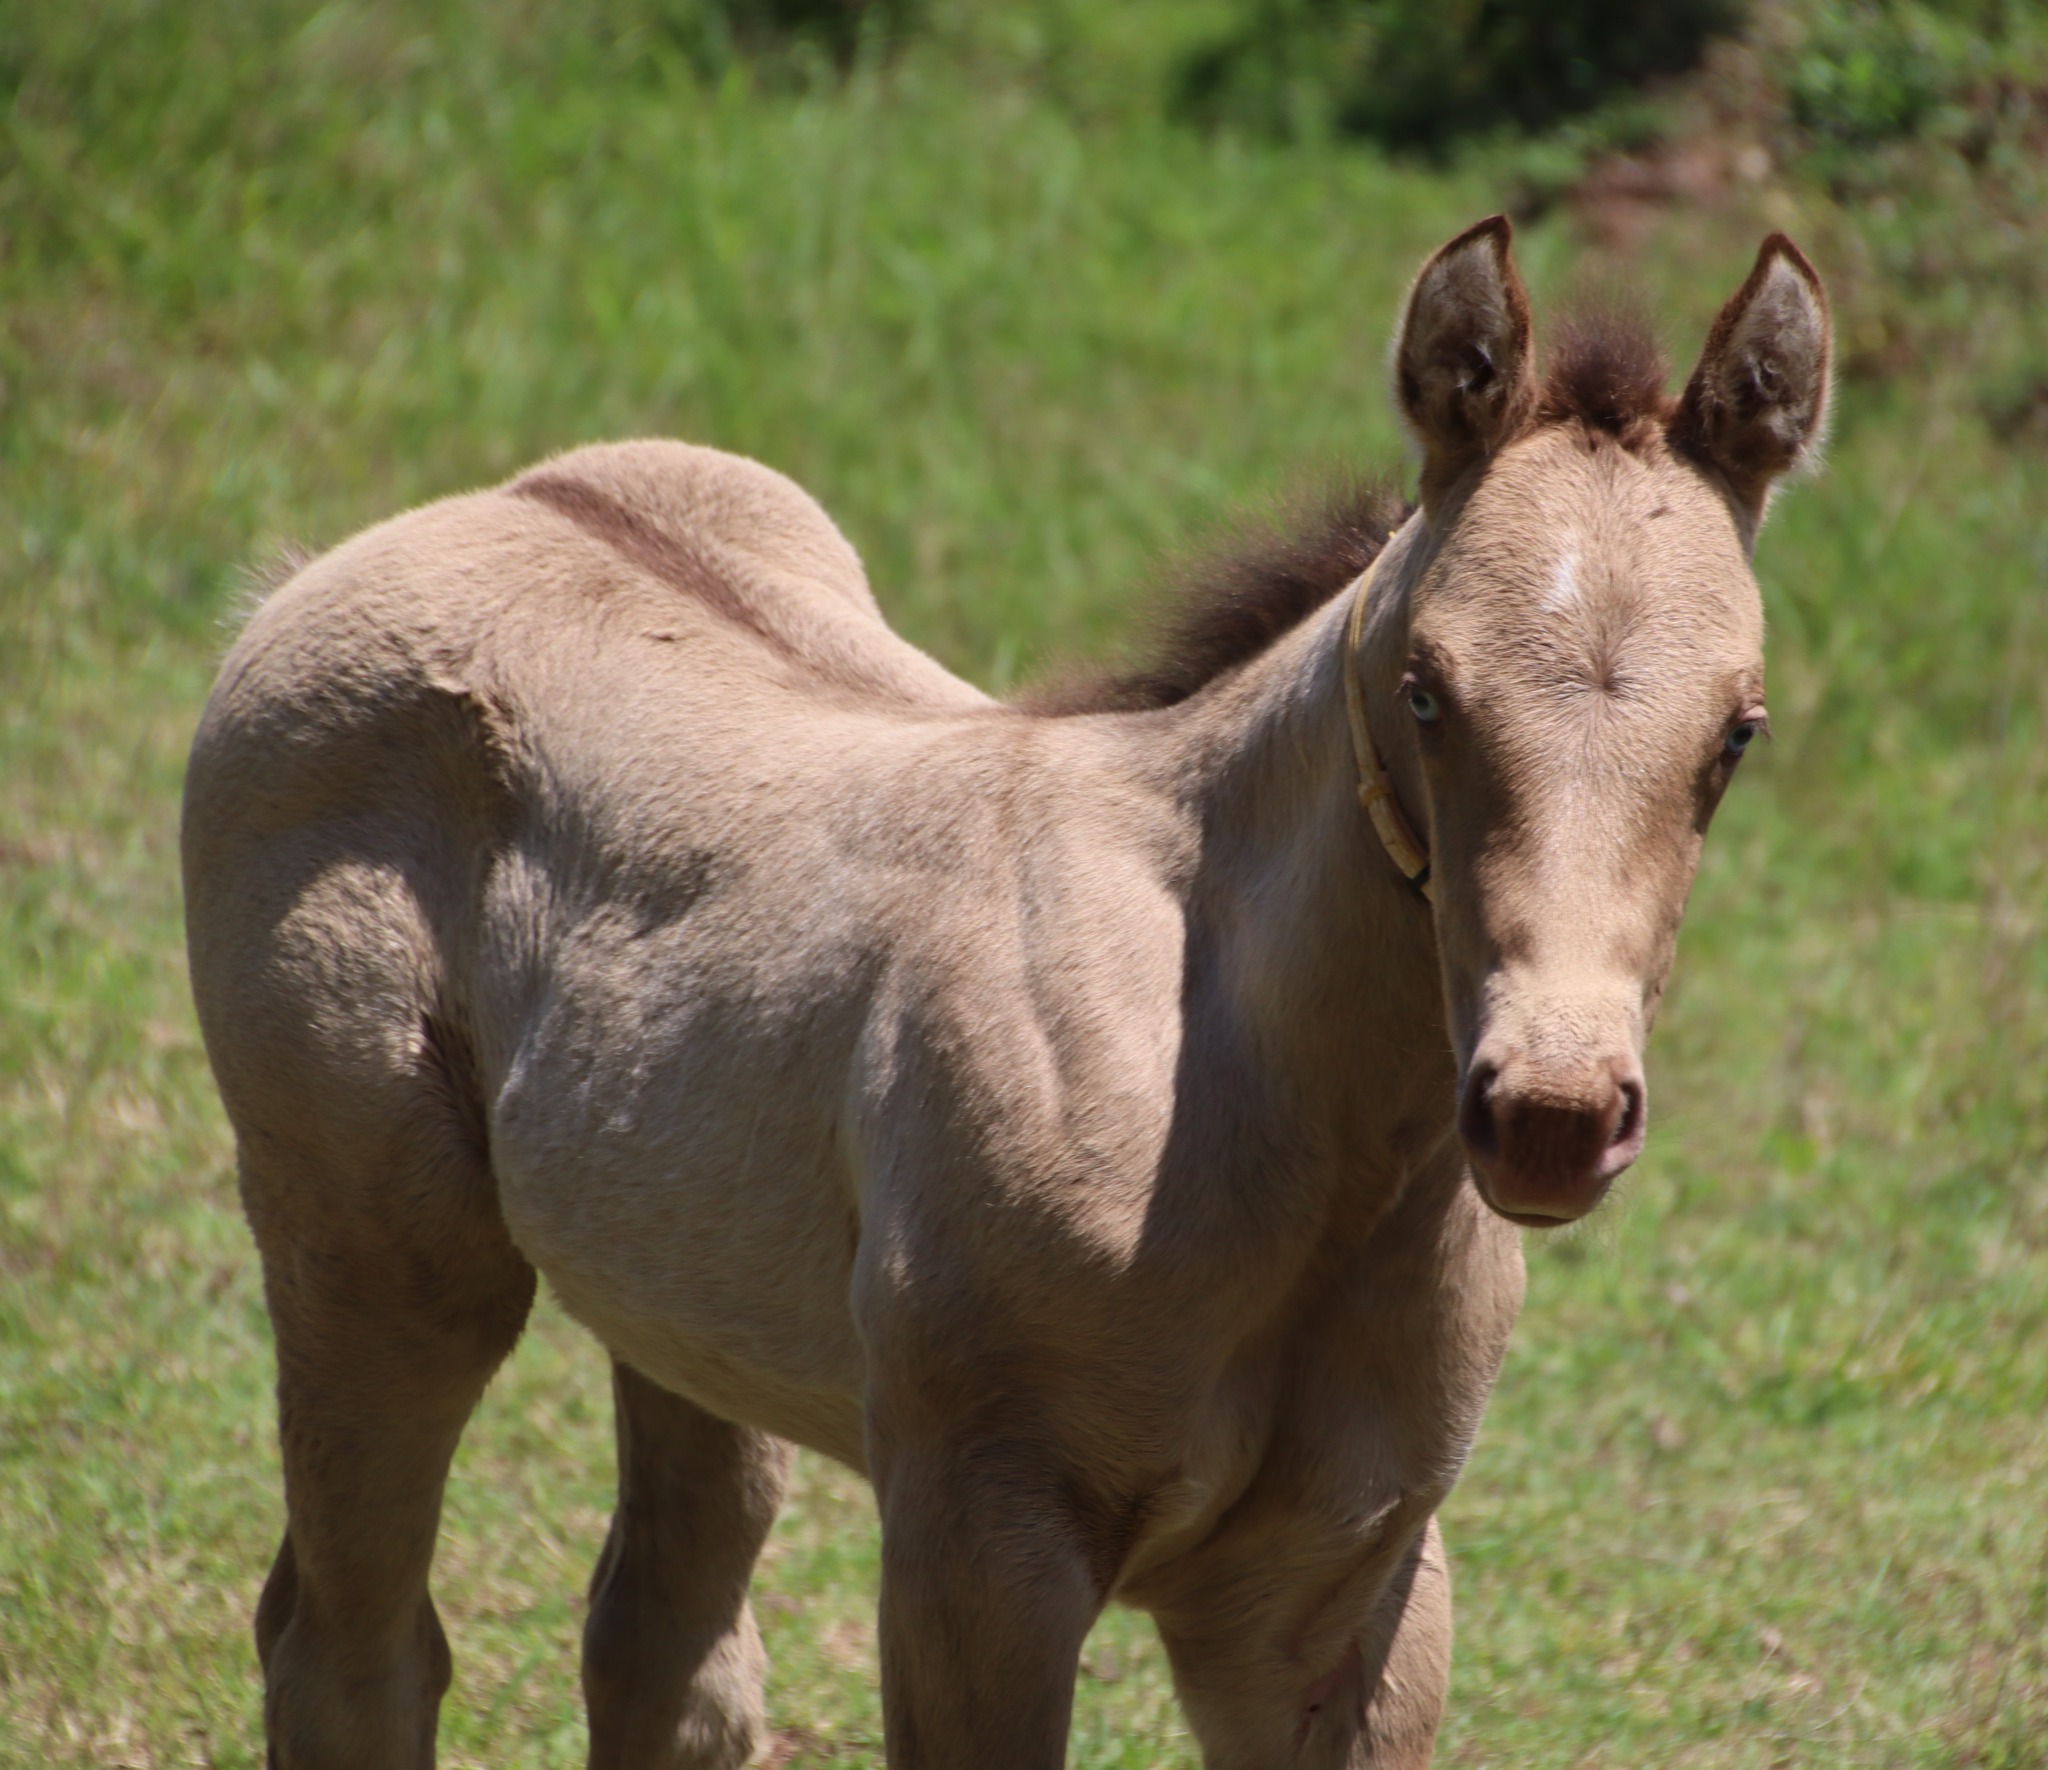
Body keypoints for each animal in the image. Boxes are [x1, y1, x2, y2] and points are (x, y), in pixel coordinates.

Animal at [182, 217, 1829, 1768]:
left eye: (1739, 732)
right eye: (1428, 690)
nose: (1550, 1113)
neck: (1257, 1111)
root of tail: (407, 537)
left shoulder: (1342, 1589)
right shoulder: (979, 1545)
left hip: (677, 1301)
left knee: (661, 1650)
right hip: (385, 1258)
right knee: (350, 1649)